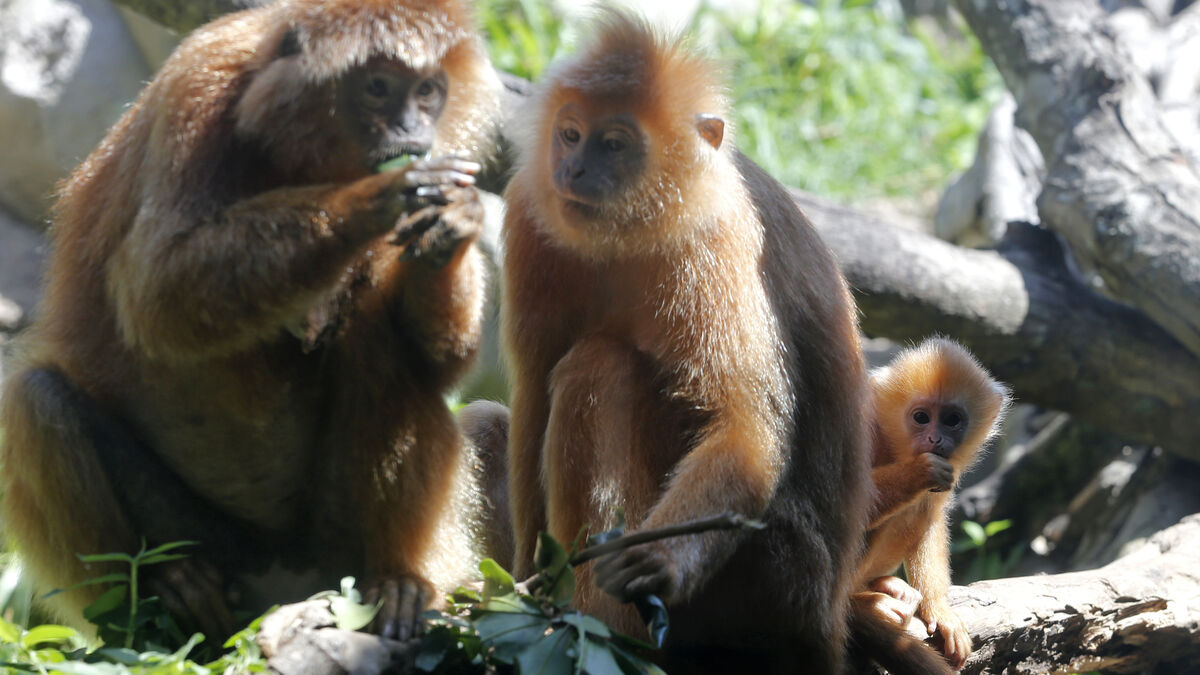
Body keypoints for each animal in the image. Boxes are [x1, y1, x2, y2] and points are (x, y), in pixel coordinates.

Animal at [0, 0, 500, 643]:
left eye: (428, 91)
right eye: (378, 87)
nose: (413, 130)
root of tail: (282, 584)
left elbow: (441, 361)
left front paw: (456, 219)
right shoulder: (200, 88)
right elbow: (156, 292)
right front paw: (376, 194)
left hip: (334, 550)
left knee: (383, 345)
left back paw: (397, 583)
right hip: (204, 539)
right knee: (35, 401)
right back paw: (161, 596)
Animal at [497, 11, 873, 672]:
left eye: (614, 144)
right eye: (570, 134)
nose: (574, 170)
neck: (627, 235)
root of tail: (828, 618)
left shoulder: (714, 233)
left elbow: (745, 426)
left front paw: (660, 563)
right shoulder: (530, 214)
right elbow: (532, 399)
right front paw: (520, 588)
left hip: (780, 573)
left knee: (599, 365)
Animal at [851, 337, 1011, 673]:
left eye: (952, 420)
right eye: (921, 417)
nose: (935, 439)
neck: (892, 446)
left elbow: (933, 517)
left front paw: (939, 609)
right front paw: (916, 473)